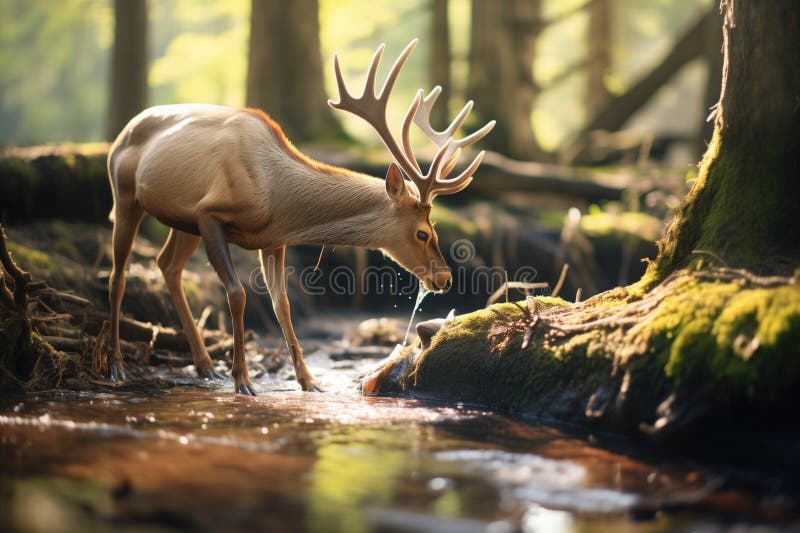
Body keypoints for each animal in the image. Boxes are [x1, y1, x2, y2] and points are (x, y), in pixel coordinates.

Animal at [106, 39, 495, 395]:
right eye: (422, 233)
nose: (445, 278)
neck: (277, 200)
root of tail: (123, 131)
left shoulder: (272, 241)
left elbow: (283, 305)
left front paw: (309, 381)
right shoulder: (209, 213)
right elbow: (237, 294)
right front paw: (243, 380)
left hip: (182, 224)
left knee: (167, 264)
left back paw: (204, 365)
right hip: (125, 194)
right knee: (118, 274)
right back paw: (117, 366)